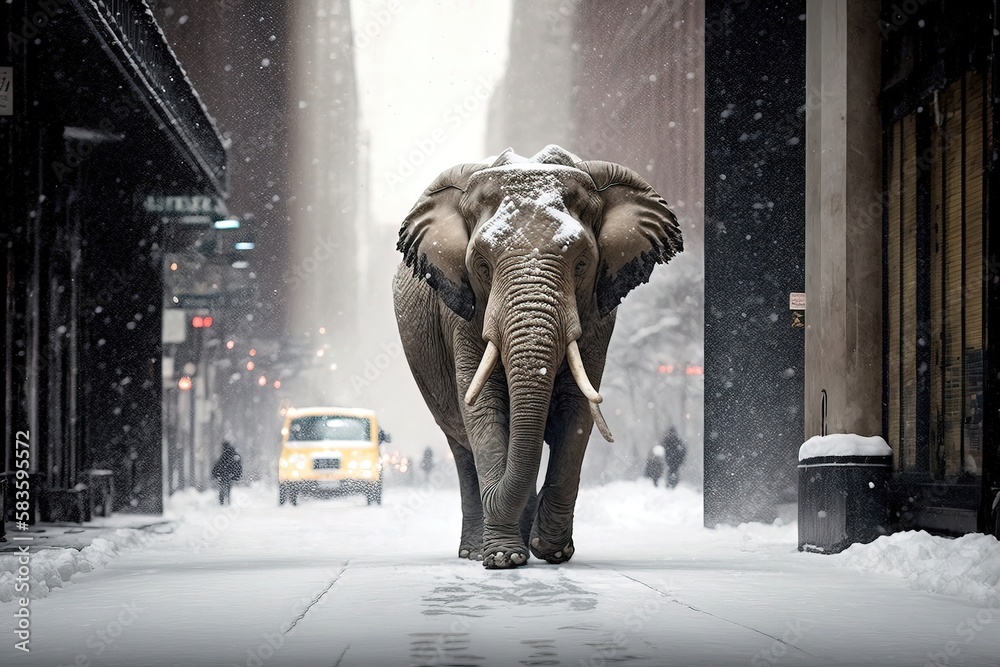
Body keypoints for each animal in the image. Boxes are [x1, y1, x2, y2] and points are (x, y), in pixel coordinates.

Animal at [392, 145, 682, 569]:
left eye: (581, 263)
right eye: (482, 265)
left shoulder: (598, 312)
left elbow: (577, 409)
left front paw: (552, 551)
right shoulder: (462, 309)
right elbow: (484, 406)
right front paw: (502, 559)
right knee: (461, 447)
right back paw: (475, 551)